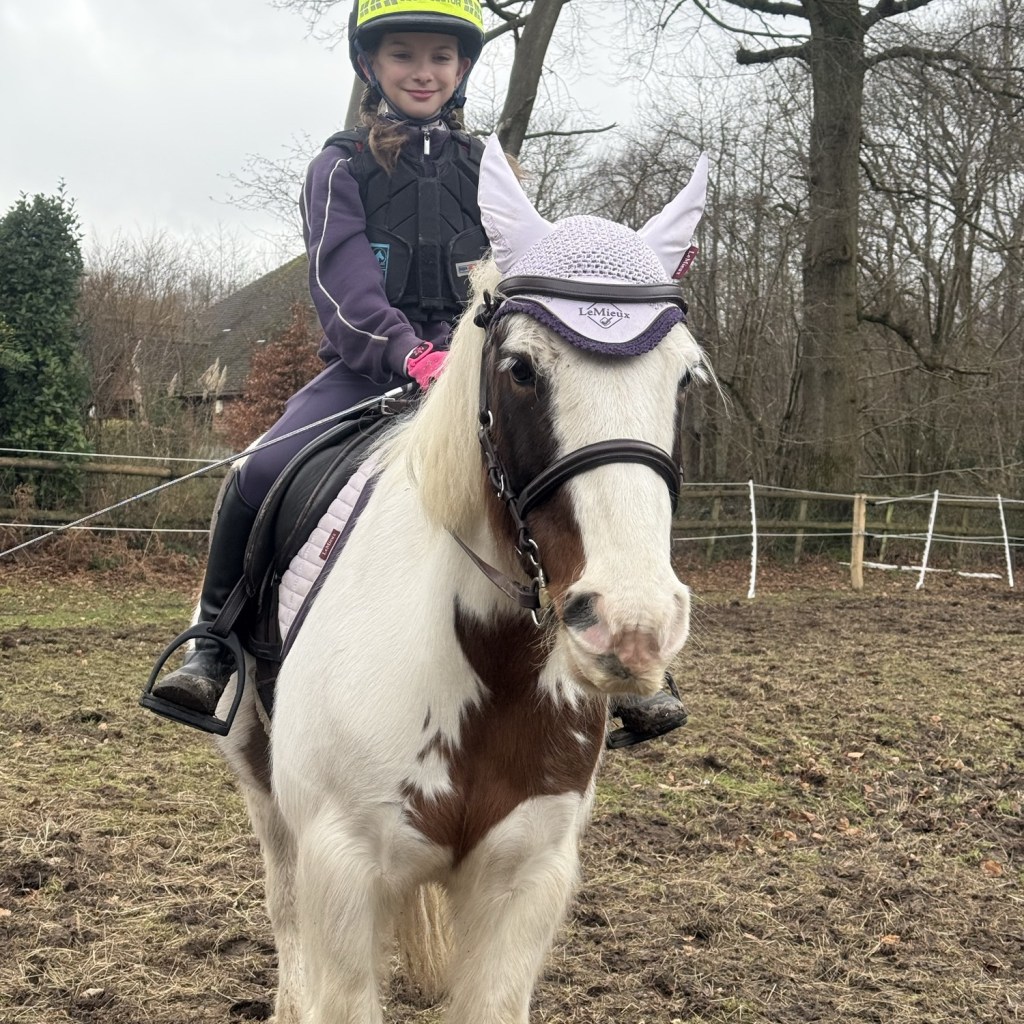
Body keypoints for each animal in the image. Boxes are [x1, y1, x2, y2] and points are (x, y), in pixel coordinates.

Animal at [215, 135, 710, 1024]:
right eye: (520, 368)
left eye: (685, 376)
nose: (631, 624)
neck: (489, 666)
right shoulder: (340, 871)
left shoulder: (525, 881)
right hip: (258, 776)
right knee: (282, 901)